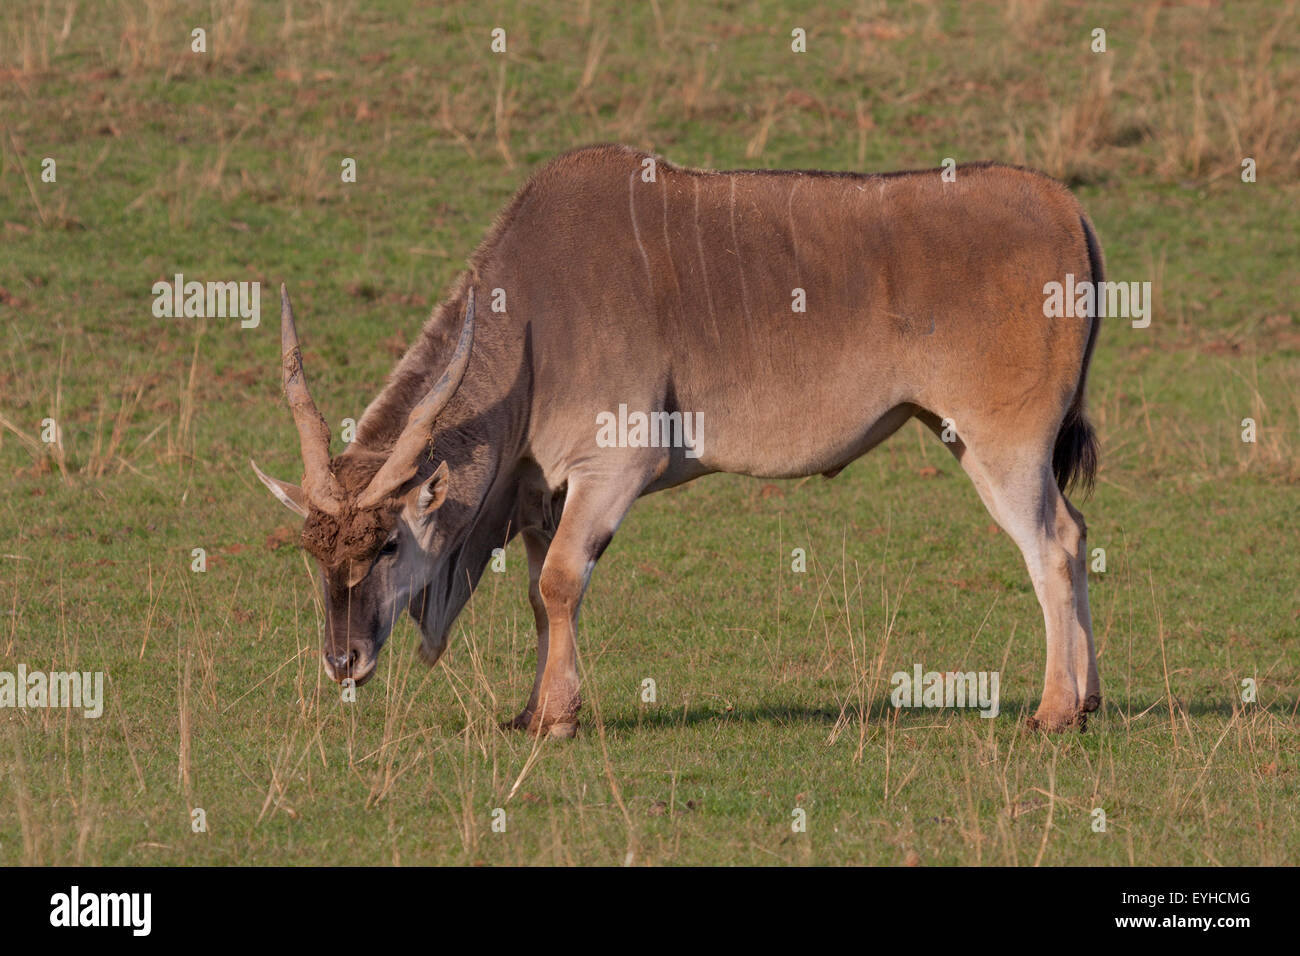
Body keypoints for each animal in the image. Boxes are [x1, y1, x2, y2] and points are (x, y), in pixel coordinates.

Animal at [252, 144, 1104, 737]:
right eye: (312, 553)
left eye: (389, 544)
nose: (341, 661)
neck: (531, 316)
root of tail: (1066, 207)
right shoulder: (541, 491)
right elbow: (537, 596)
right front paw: (532, 710)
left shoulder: (612, 468)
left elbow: (561, 583)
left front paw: (557, 719)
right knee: (1077, 531)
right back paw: (1090, 700)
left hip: (1004, 444)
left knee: (1050, 543)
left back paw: (1056, 711)